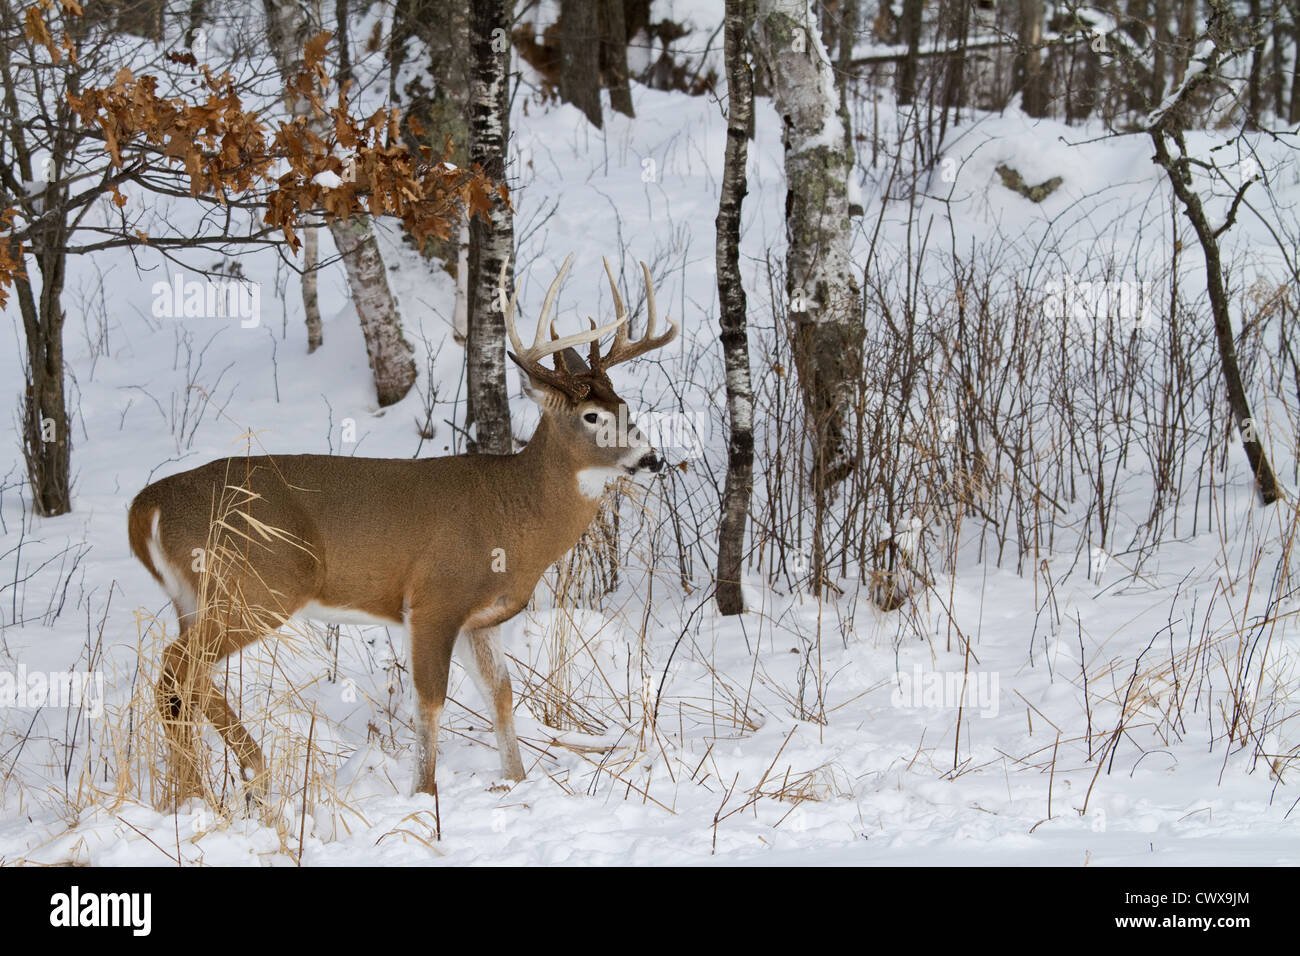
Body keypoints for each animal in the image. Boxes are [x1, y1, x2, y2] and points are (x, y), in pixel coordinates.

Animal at [127, 254, 678, 805]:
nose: (653, 458)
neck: (513, 515)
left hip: (197, 598)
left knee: (190, 681)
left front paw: (517, 781)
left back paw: (206, 789)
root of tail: (145, 505)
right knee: (178, 671)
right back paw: (222, 786)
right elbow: (431, 700)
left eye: (627, 407)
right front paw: (424, 792)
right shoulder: (434, 599)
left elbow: (500, 694)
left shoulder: (483, 617)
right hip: (259, 586)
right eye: (592, 416)